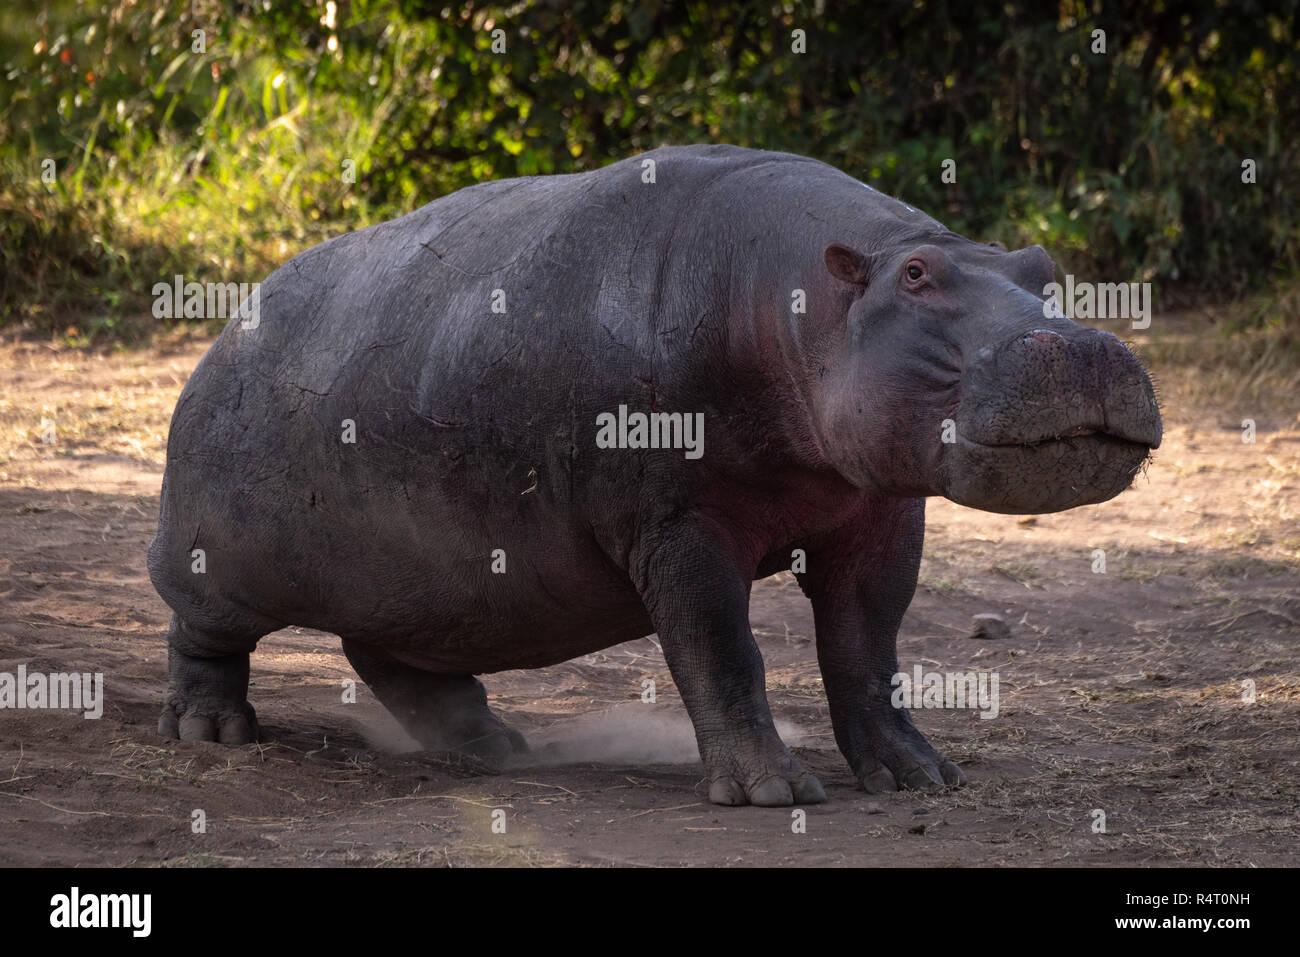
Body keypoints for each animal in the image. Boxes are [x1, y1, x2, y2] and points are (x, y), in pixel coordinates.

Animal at [148, 144, 1162, 806]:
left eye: (1040, 265)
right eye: (915, 273)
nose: (1087, 349)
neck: (798, 303)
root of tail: (223, 333)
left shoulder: (877, 514)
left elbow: (868, 649)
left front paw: (922, 775)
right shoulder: (676, 524)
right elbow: (722, 649)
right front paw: (771, 793)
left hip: (420, 575)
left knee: (394, 653)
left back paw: (494, 746)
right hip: (214, 559)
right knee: (205, 638)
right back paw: (212, 732)